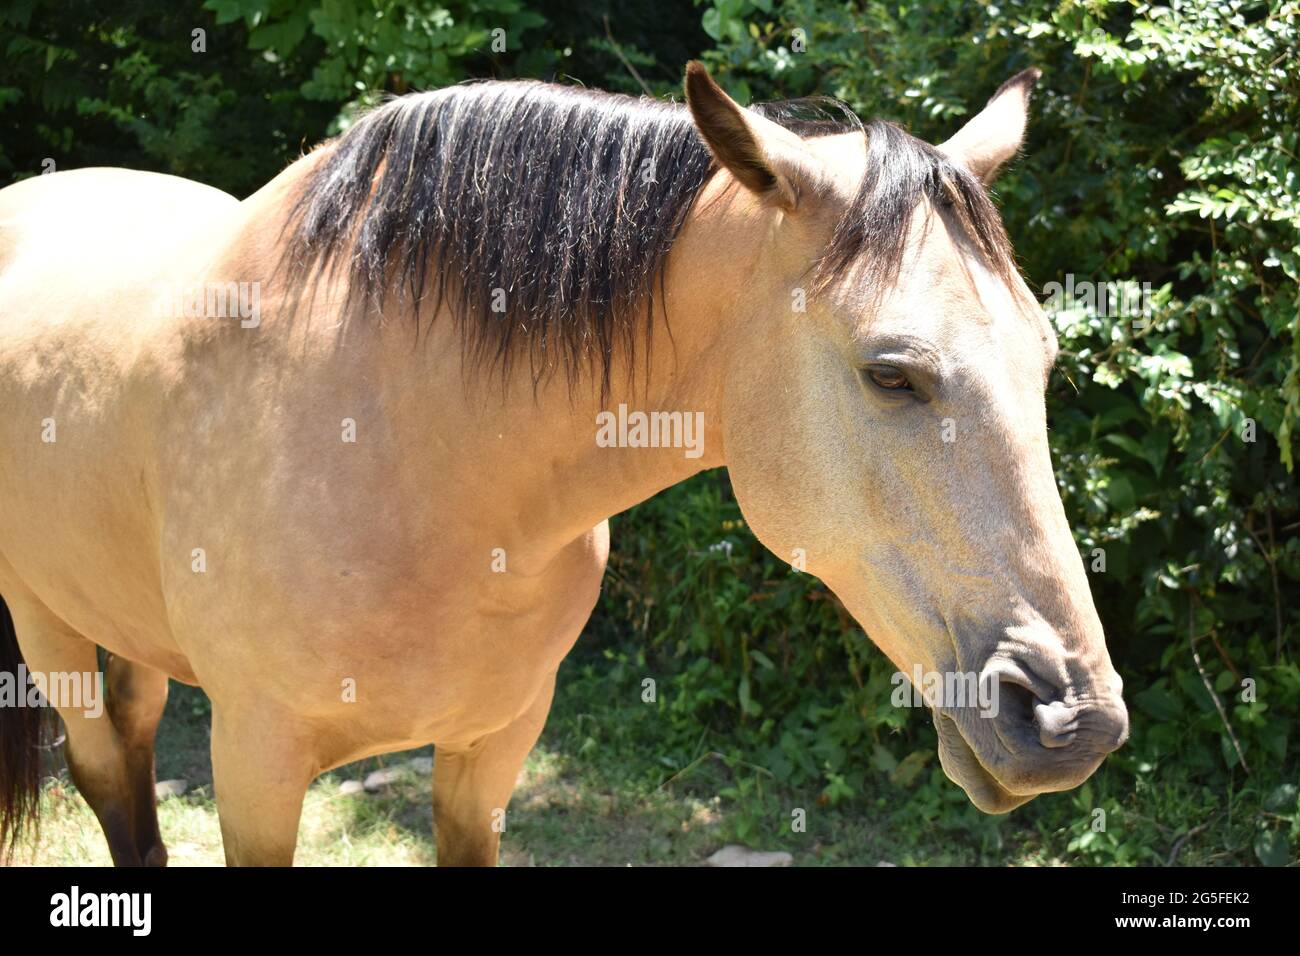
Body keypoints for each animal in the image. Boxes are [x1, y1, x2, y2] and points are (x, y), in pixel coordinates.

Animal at [0, 62, 1128, 866]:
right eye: (891, 374)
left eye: (1043, 359)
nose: (1070, 720)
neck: (406, 453)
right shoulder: (257, 767)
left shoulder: (494, 750)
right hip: (47, 626)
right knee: (110, 782)